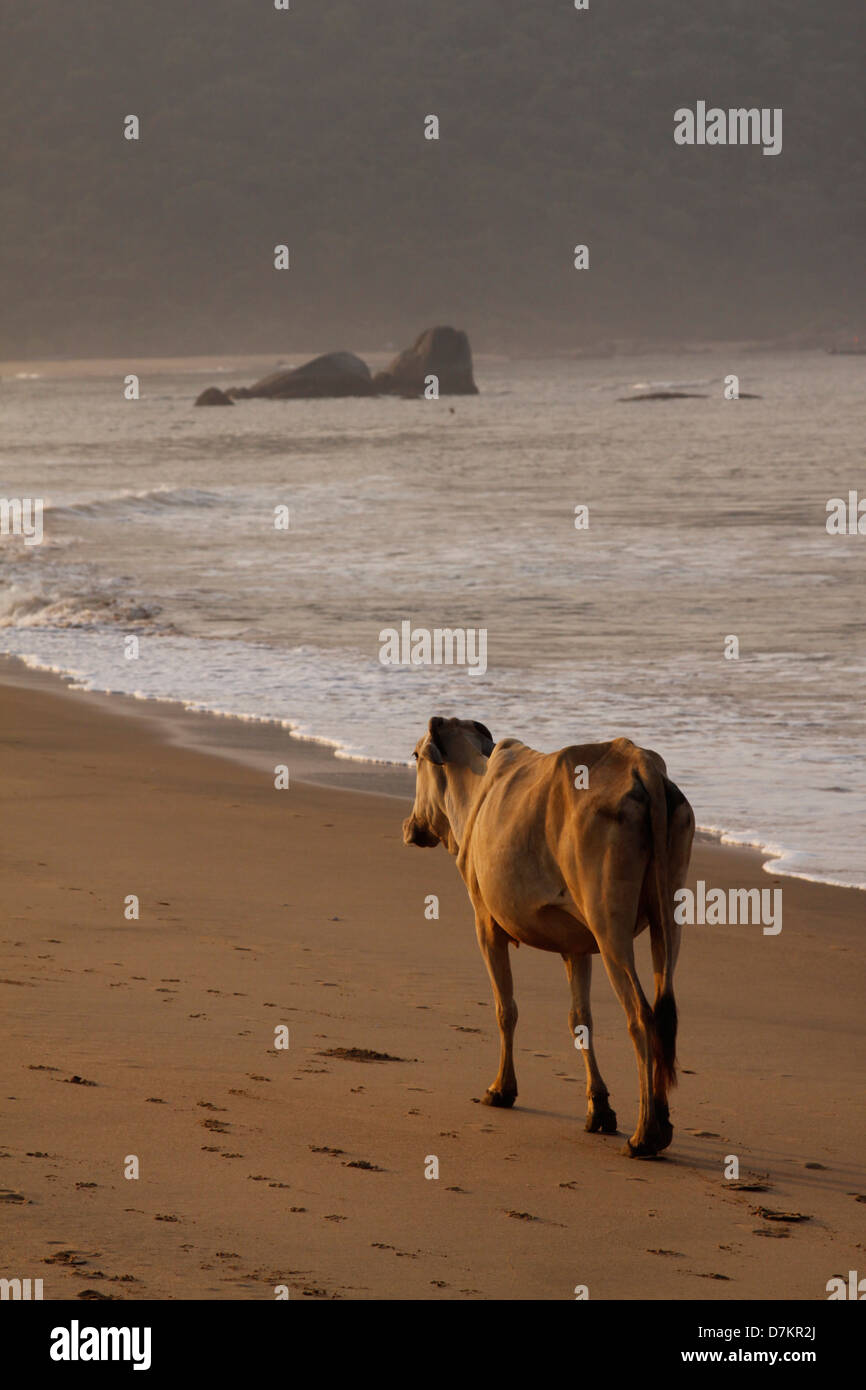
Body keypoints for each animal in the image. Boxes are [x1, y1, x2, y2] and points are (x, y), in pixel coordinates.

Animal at [403, 716, 695, 1157]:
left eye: (415, 756)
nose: (410, 826)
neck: (474, 793)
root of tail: (641, 764)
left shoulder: (485, 924)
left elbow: (505, 1009)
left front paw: (502, 1089)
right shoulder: (576, 946)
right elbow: (580, 1019)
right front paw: (599, 1108)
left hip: (610, 928)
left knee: (641, 1016)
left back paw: (645, 1134)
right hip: (668, 919)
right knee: (663, 1012)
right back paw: (660, 1123)